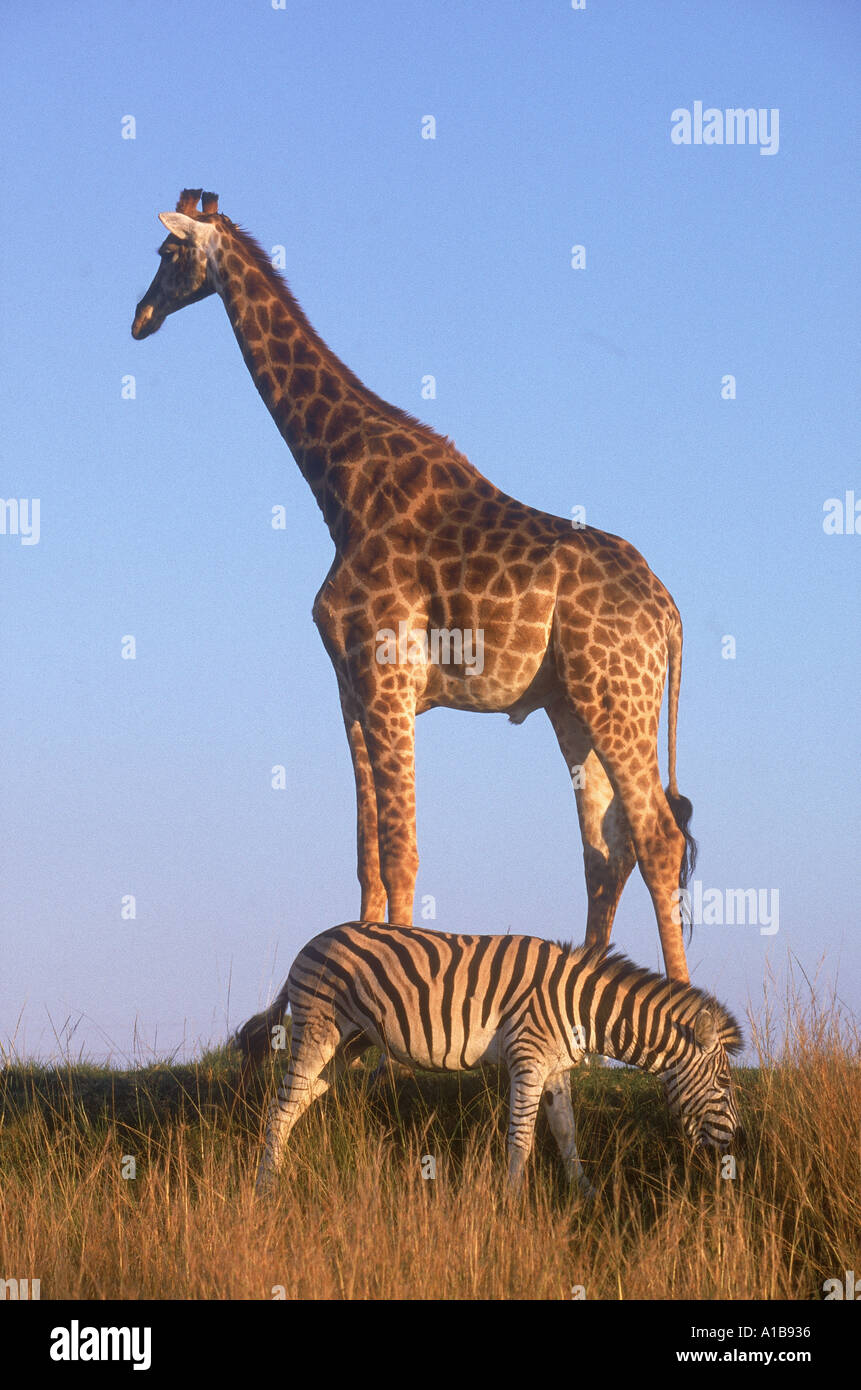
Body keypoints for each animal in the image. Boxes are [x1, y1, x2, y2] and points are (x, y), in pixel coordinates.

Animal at [132, 189, 697, 982]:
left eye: (166, 252)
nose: (140, 318)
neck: (340, 483)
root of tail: (668, 611)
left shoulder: (388, 676)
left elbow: (403, 852)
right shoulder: (350, 688)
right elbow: (368, 855)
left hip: (616, 694)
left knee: (657, 839)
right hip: (575, 707)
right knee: (604, 850)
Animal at [236, 922, 742, 1195]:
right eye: (723, 1084)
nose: (735, 1140)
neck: (580, 1007)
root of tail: (310, 944)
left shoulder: (556, 1070)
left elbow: (567, 1134)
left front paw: (587, 1195)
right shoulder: (528, 1061)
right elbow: (521, 1140)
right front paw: (511, 1204)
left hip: (347, 1045)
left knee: (297, 1104)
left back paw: (280, 1174)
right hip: (317, 1031)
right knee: (279, 1109)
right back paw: (266, 1190)